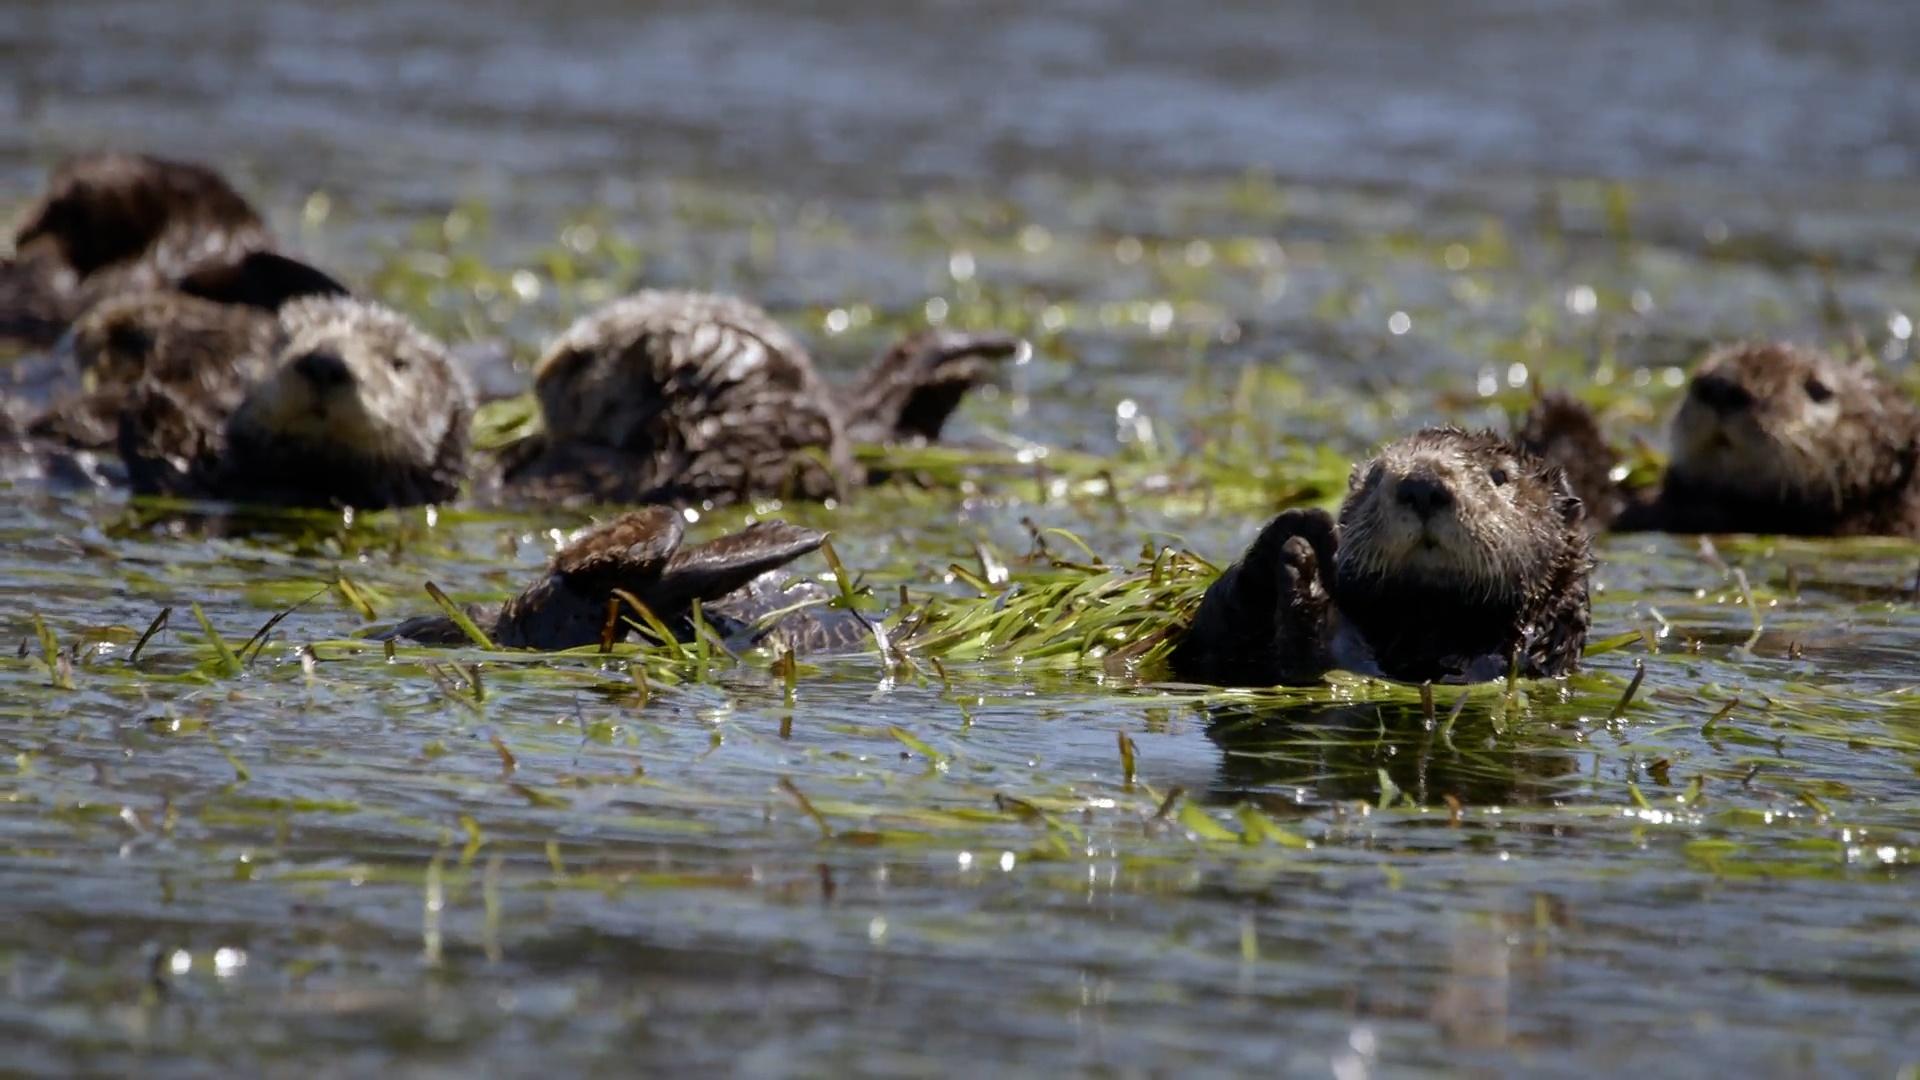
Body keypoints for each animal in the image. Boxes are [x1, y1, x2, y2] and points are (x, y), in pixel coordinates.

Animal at [1169, 428, 1591, 687]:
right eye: (1375, 476)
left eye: (1500, 476)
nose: (1421, 485)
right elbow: (1211, 646)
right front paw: (1294, 530)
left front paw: (1304, 575)